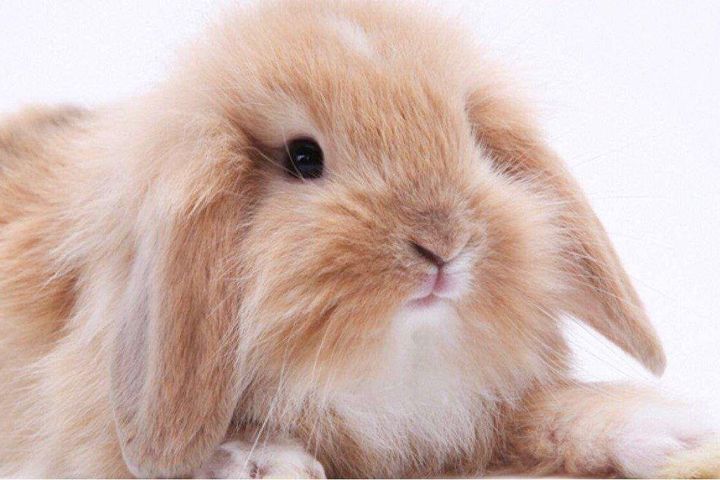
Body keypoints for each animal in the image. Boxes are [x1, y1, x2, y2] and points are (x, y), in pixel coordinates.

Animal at [0, 0, 717, 477]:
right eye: (302, 158)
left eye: (472, 138)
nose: (443, 245)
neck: (388, 361)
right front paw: (267, 463)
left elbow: (550, 412)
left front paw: (674, 434)